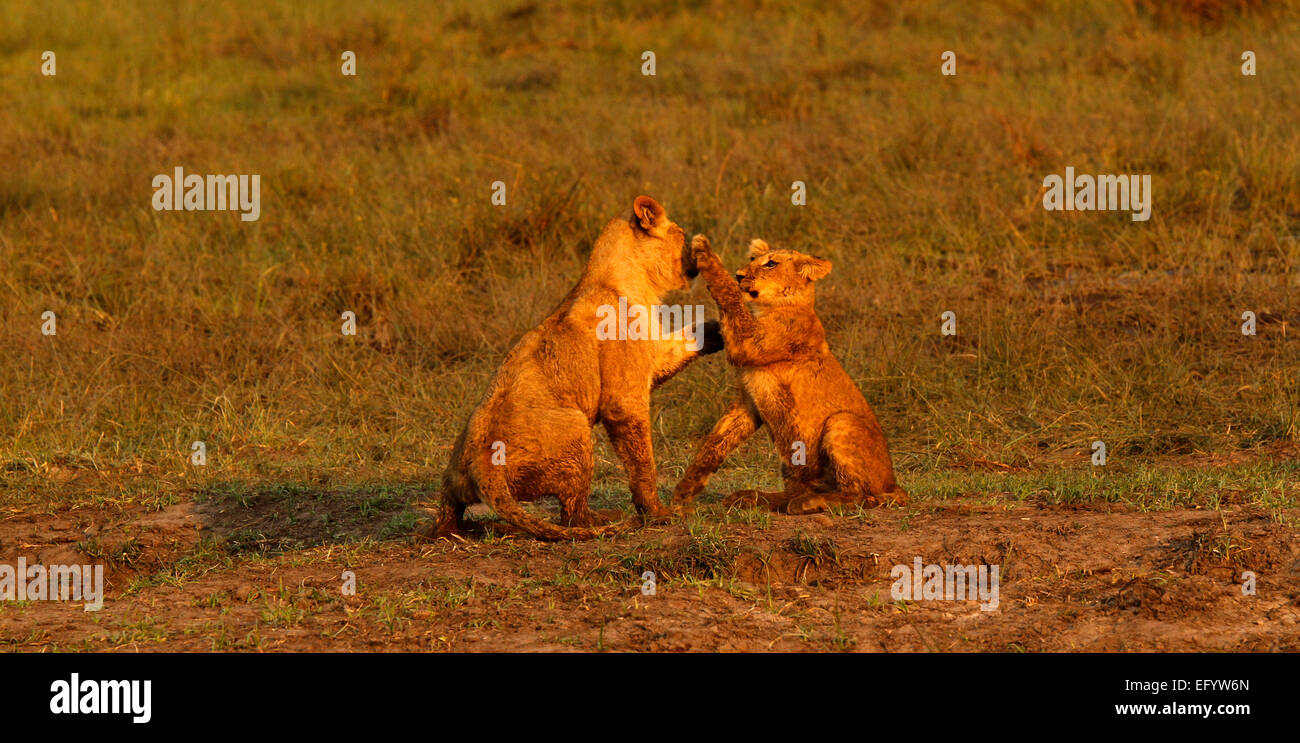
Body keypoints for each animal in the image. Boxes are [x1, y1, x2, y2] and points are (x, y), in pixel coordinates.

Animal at [429, 196, 722, 541]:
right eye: (681, 234)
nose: (695, 260)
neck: (627, 278)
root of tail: (483, 469)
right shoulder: (623, 397)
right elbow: (642, 460)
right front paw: (656, 512)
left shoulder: (653, 356)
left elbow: (681, 343)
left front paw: (718, 330)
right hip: (575, 427)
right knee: (572, 515)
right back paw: (602, 519)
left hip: (454, 476)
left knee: (448, 509)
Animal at [671, 234, 906, 515]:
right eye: (753, 259)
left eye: (771, 264)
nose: (739, 274)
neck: (771, 308)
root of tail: (895, 484)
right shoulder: (749, 400)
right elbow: (716, 442)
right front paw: (685, 489)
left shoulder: (748, 342)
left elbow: (729, 294)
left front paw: (705, 251)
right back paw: (751, 498)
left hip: (841, 422)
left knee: (859, 494)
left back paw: (807, 503)